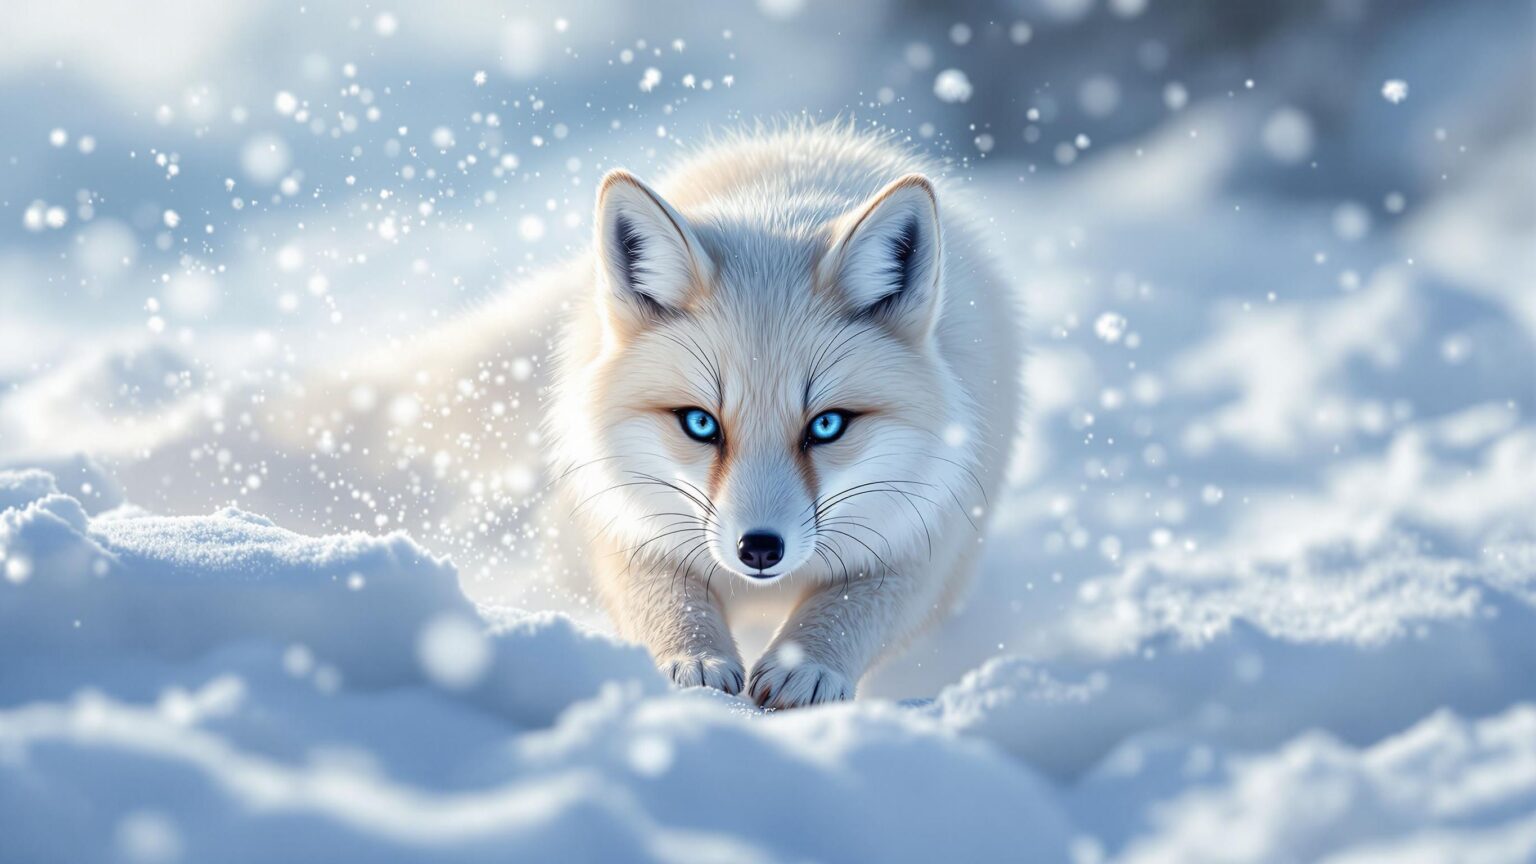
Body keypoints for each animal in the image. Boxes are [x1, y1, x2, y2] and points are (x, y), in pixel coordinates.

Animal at [546, 124, 1022, 708]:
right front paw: (694, 662)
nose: (759, 549)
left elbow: (851, 610)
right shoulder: (630, 522)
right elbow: (664, 600)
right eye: (700, 423)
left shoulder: (925, 534)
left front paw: (807, 667)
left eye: (826, 425)